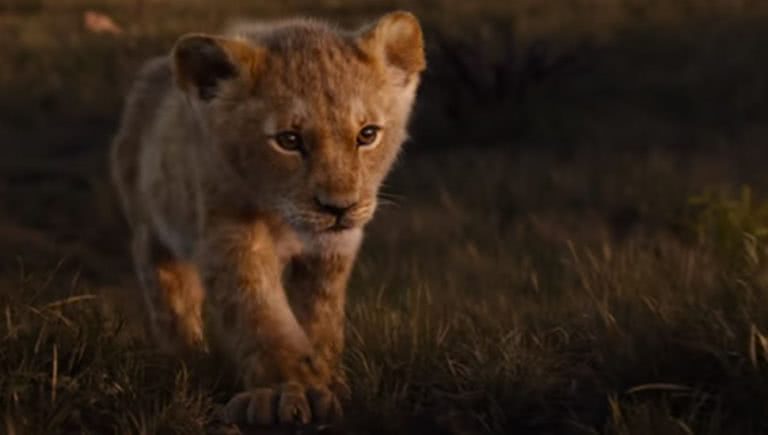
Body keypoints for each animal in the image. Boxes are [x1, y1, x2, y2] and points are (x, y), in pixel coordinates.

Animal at [110, 11, 425, 426]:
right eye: (289, 140)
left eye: (367, 134)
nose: (339, 208)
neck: (283, 219)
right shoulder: (230, 233)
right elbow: (261, 316)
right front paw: (286, 392)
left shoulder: (334, 248)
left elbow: (321, 315)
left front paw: (327, 378)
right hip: (152, 230)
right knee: (171, 300)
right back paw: (185, 360)